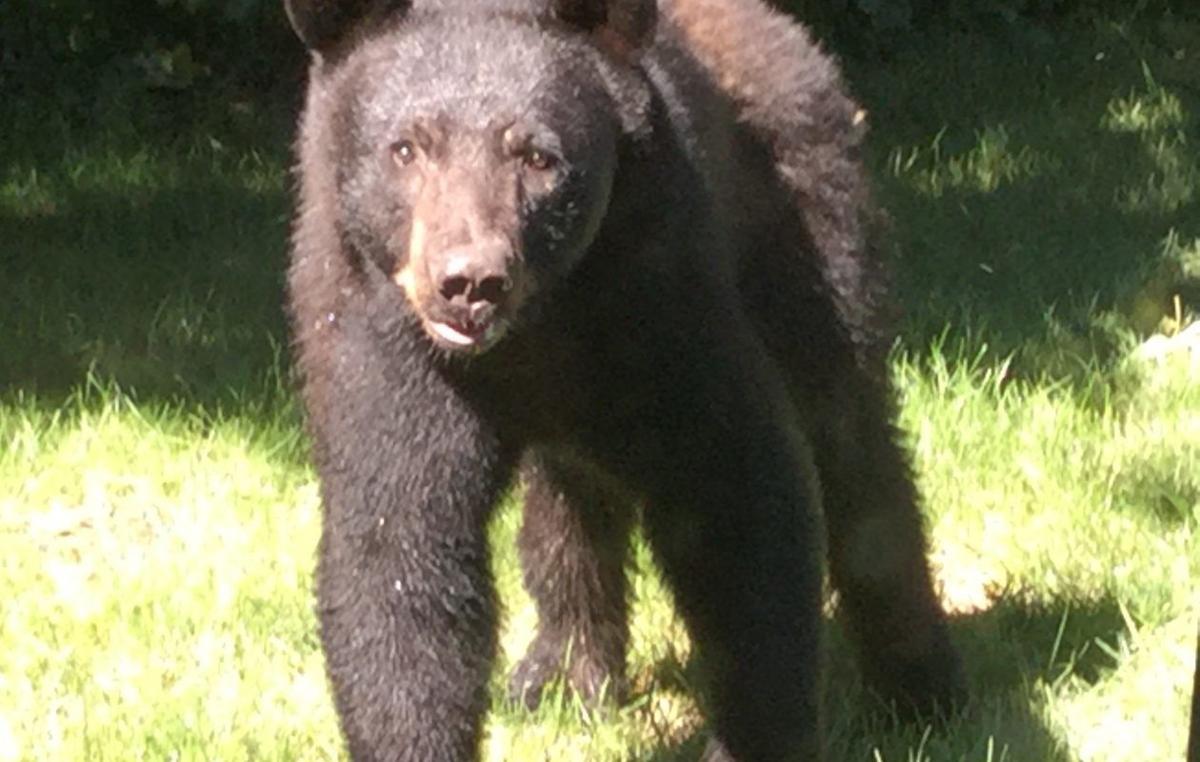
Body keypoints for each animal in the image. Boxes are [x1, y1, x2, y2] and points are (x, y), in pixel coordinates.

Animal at [282, 0, 965, 760]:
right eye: (406, 147)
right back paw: (561, 671)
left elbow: (739, 503)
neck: (537, 331)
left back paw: (920, 687)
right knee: (568, 495)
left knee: (852, 438)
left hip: (802, 217)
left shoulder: (660, 301)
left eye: (538, 156)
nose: (470, 283)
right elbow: (399, 547)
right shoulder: (383, 341)